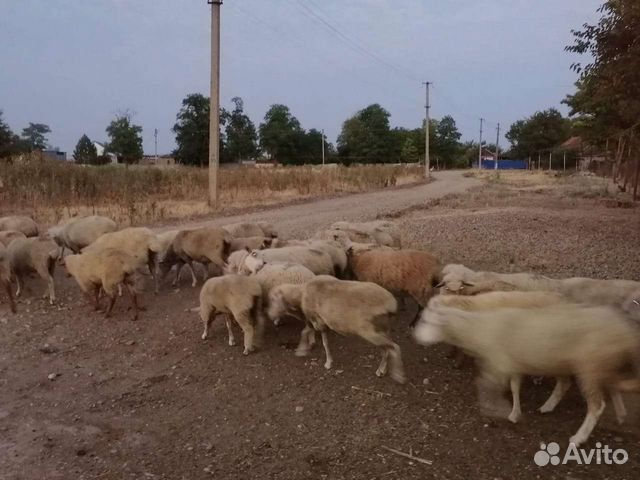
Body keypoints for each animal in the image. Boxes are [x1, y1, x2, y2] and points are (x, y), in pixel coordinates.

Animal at [268, 276, 405, 382]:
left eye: (273, 299)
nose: (269, 314)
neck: (301, 295)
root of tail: (390, 304)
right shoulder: (316, 321)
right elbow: (306, 331)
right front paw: (305, 348)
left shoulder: (319, 322)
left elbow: (321, 341)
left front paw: (326, 361)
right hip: (382, 328)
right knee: (387, 349)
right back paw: (382, 370)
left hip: (369, 332)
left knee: (394, 347)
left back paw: (398, 374)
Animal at [413, 304, 640, 445]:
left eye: (429, 322)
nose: (416, 337)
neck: (477, 329)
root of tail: (625, 331)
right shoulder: (510, 364)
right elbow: (515, 387)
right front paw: (514, 412)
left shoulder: (499, 364)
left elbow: (487, 385)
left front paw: (494, 408)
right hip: (598, 365)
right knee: (607, 386)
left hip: (590, 366)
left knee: (596, 405)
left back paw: (579, 437)